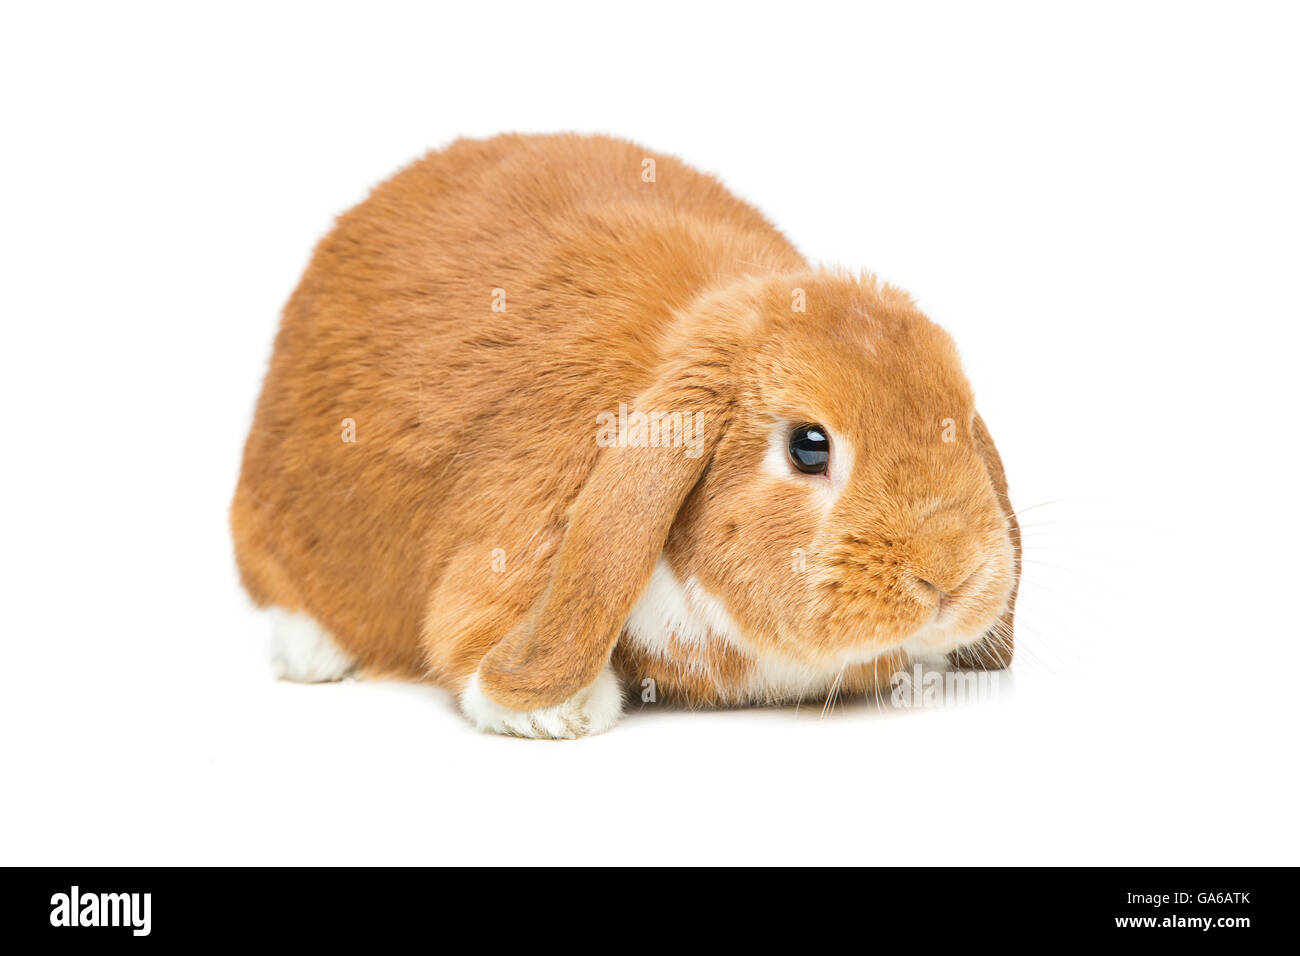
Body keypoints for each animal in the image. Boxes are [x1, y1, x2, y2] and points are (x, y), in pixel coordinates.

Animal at [230, 132, 1020, 738]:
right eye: (808, 446)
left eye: (959, 419)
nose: (951, 572)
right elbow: (472, 630)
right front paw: (561, 714)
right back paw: (314, 654)